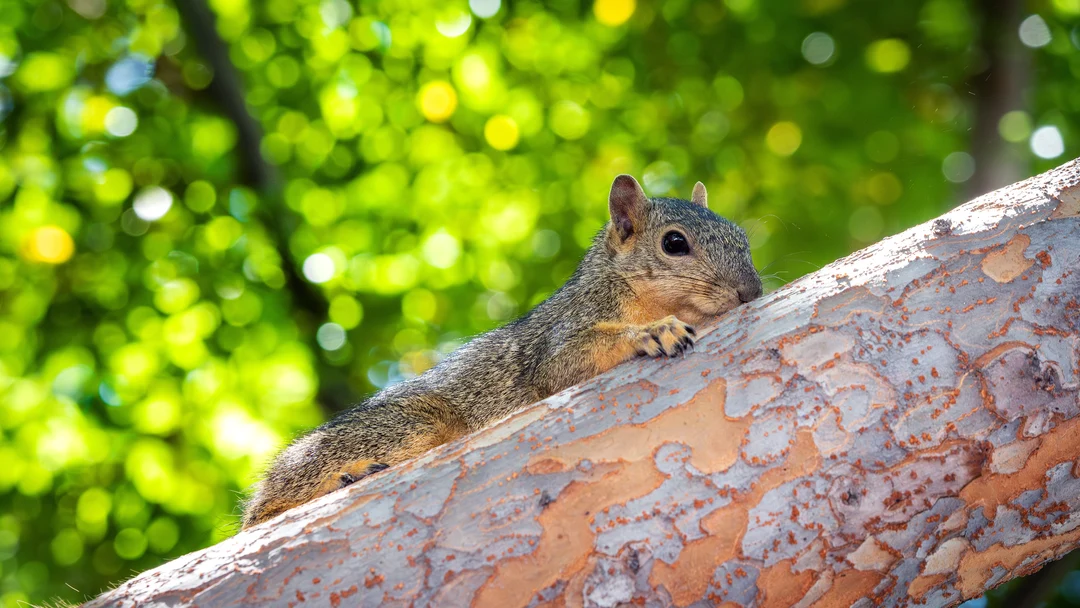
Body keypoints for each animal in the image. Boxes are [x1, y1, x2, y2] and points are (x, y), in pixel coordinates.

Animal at [242, 174, 762, 528]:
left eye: (743, 238)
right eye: (674, 243)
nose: (751, 291)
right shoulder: (560, 337)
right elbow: (565, 360)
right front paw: (654, 332)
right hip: (410, 422)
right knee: (267, 513)